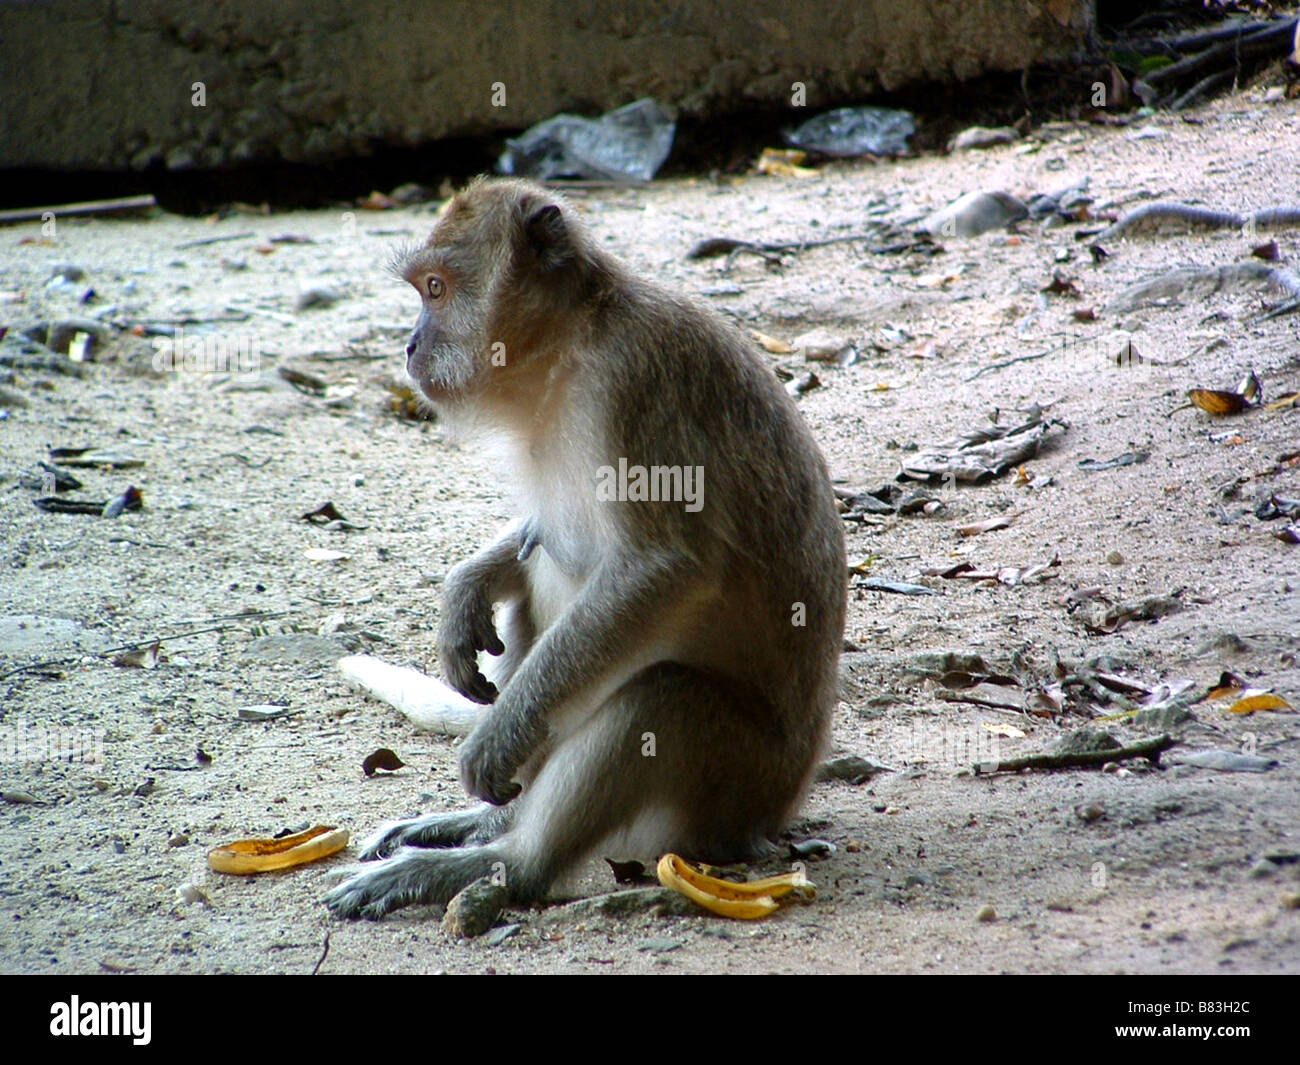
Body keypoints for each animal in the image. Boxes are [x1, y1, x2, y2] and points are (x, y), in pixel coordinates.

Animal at [325, 177, 846, 920]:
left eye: (436, 289)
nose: (410, 344)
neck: (570, 345)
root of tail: (778, 809)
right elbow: (535, 537)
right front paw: (466, 588)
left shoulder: (636, 383)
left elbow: (667, 569)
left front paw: (497, 740)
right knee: (543, 573)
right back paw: (481, 826)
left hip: (736, 784)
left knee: (664, 695)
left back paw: (505, 864)